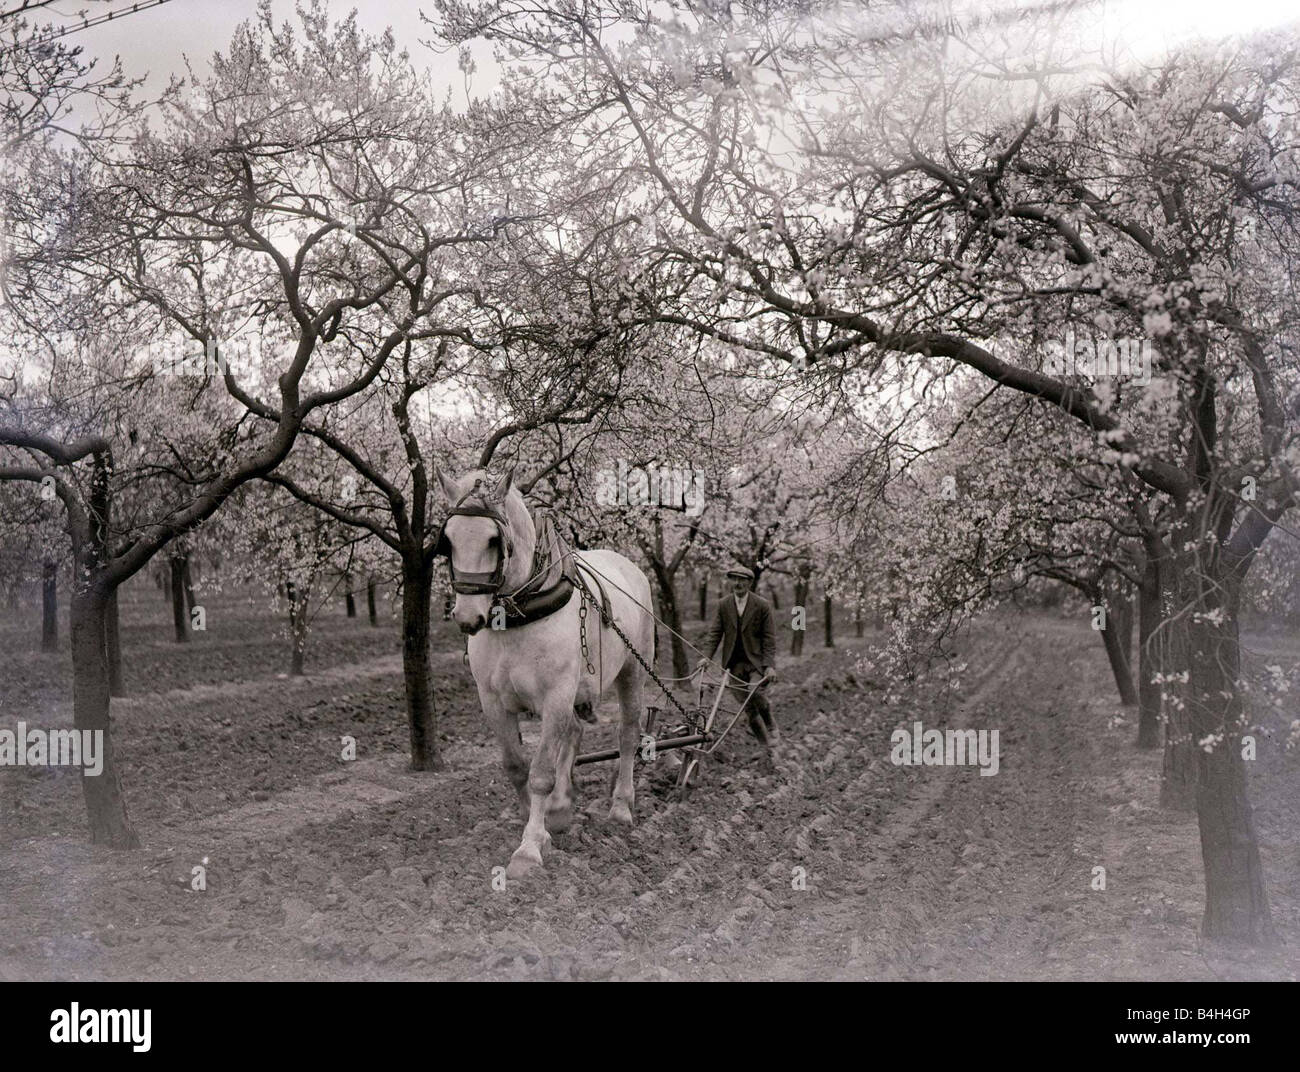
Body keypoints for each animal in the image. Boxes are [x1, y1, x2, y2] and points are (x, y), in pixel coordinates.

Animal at [434, 465, 655, 879]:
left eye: (494, 540)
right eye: (449, 540)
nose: (468, 617)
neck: (517, 619)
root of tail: (629, 565)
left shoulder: (555, 696)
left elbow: (539, 775)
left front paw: (530, 847)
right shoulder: (493, 701)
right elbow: (516, 767)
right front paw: (538, 823)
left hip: (633, 671)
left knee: (628, 735)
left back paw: (620, 807)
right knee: (574, 732)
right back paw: (562, 805)